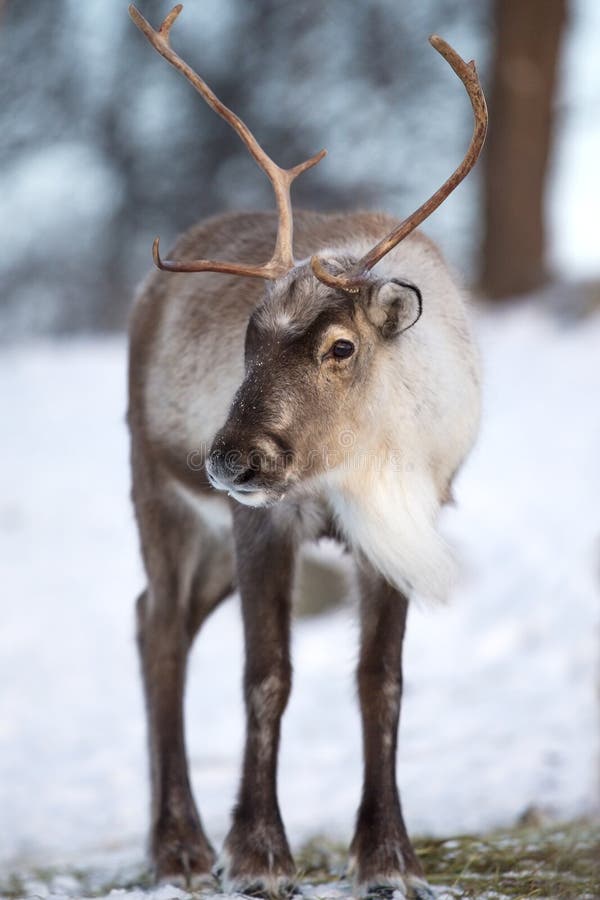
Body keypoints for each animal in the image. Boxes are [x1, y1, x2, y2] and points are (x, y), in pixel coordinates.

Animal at [127, 4, 487, 898]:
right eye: (248, 341)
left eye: (339, 346)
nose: (230, 460)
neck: (356, 467)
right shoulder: (264, 520)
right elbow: (268, 675)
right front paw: (257, 853)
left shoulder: (399, 525)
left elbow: (381, 682)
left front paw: (388, 856)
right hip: (159, 491)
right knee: (159, 629)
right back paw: (179, 845)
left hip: (210, 535)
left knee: (157, 620)